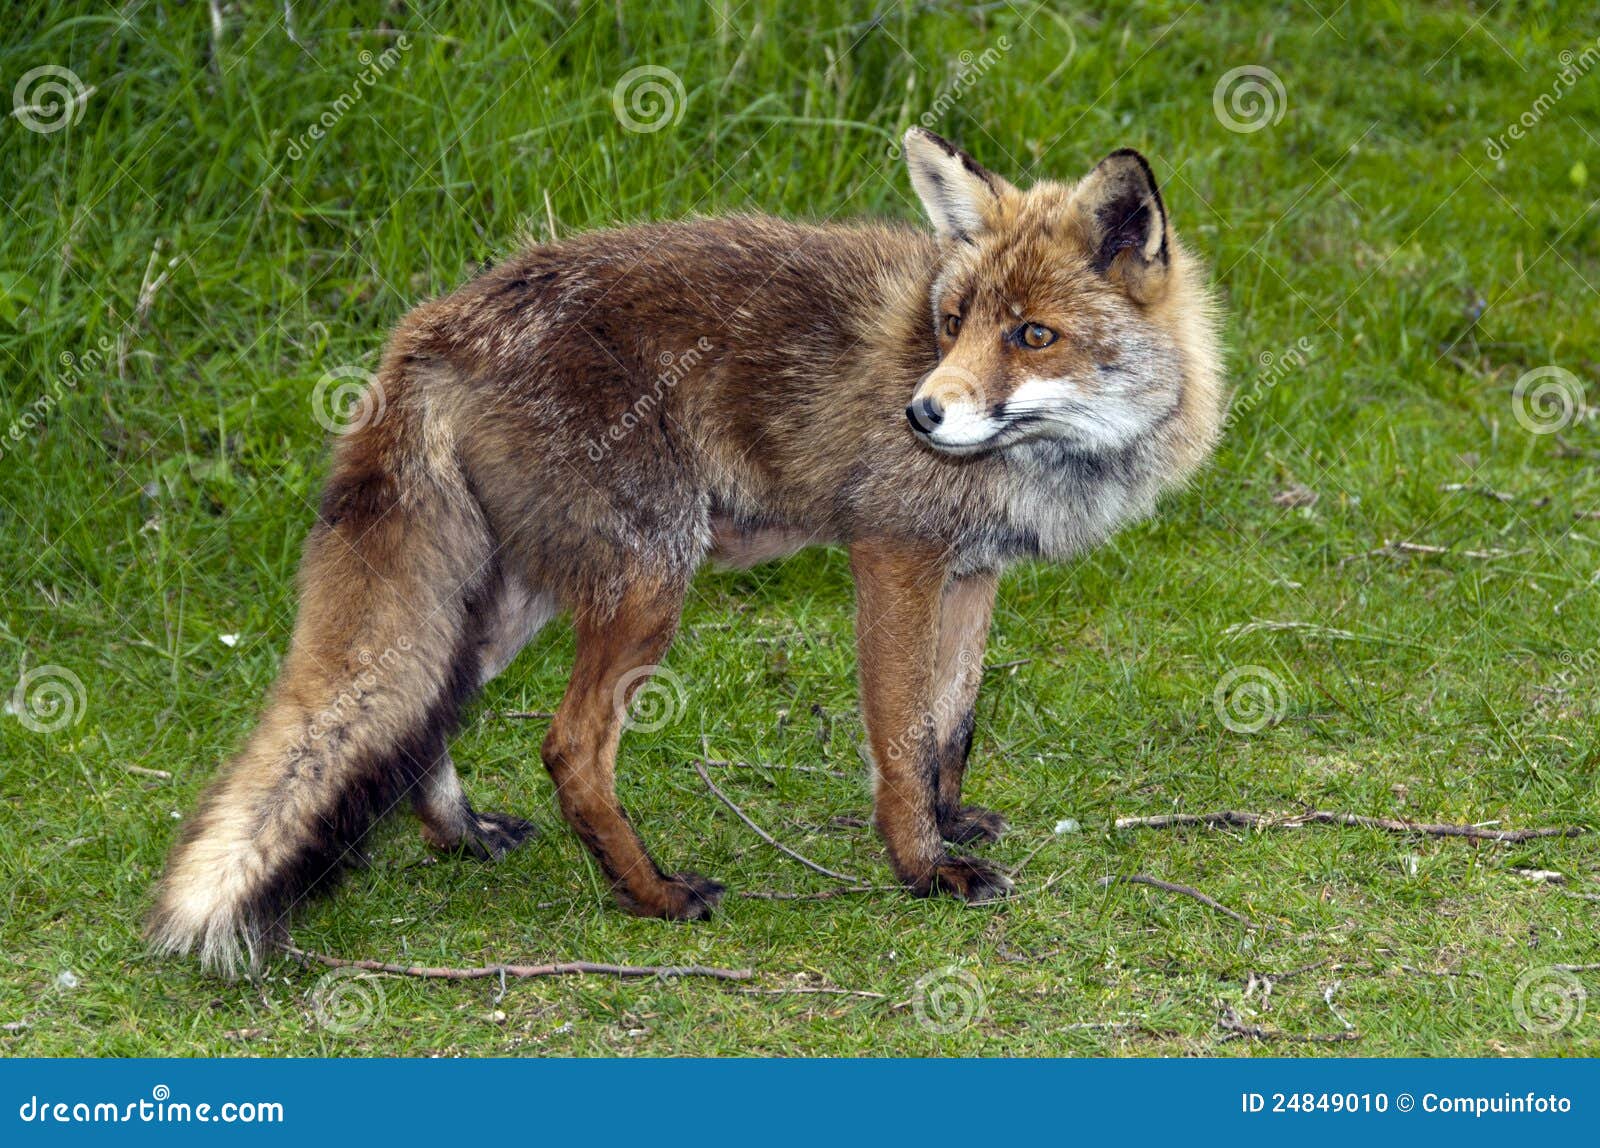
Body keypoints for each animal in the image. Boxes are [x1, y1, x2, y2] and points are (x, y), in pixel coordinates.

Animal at [146, 128, 1224, 975]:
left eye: (1033, 334)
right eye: (954, 324)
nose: (919, 413)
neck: (1052, 460)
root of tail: (436, 322)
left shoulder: (972, 572)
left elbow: (950, 724)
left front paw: (950, 819)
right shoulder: (894, 555)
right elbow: (899, 735)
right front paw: (923, 866)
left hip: (513, 599)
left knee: (424, 712)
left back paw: (462, 834)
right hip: (650, 577)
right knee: (568, 748)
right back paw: (652, 893)